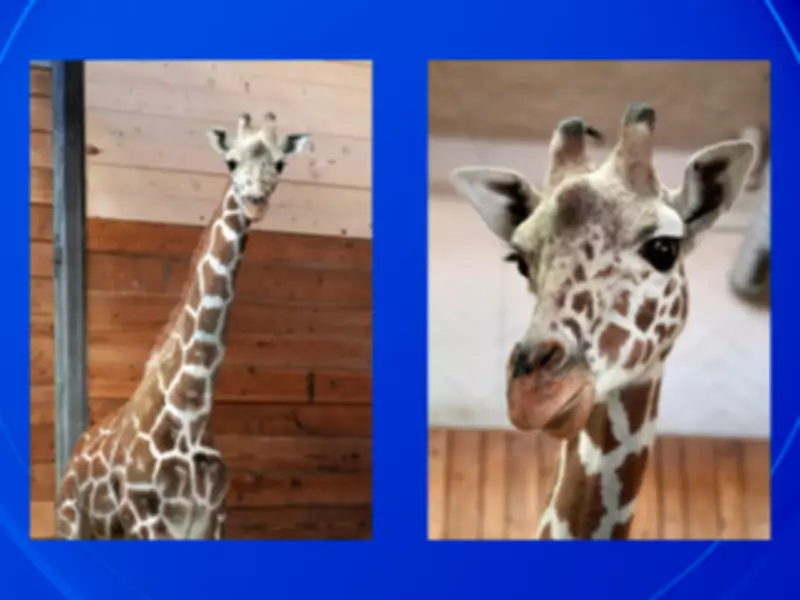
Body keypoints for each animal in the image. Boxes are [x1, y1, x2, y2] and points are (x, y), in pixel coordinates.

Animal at [54, 111, 310, 540]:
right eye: (231, 162)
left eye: (279, 164)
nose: (255, 203)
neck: (190, 412)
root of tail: (72, 459)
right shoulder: (146, 517)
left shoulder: (211, 518)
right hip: (71, 523)